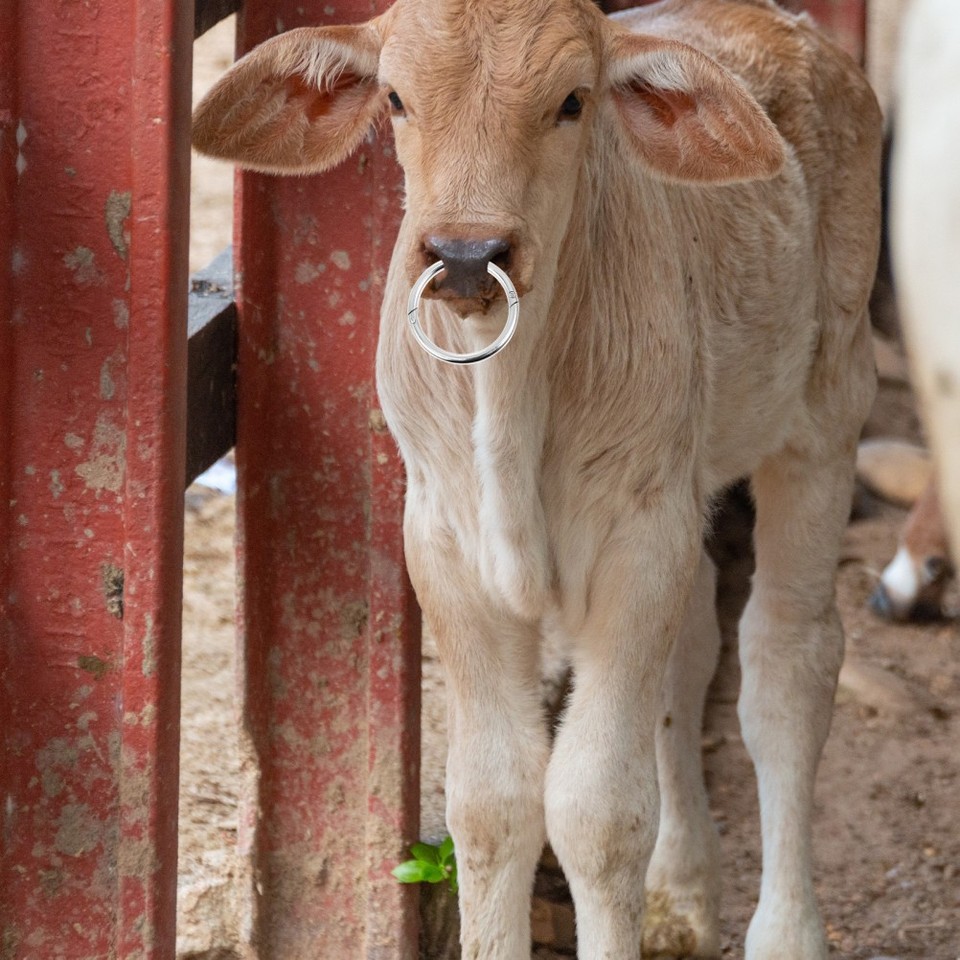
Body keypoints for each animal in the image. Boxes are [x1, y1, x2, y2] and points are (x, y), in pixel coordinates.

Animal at [192, 1, 882, 957]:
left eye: (572, 102)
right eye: (396, 98)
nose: (466, 252)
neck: (509, 399)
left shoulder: (640, 535)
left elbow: (598, 809)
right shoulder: (444, 543)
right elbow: (491, 802)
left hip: (828, 408)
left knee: (788, 662)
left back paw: (785, 932)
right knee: (692, 650)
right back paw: (681, 896)